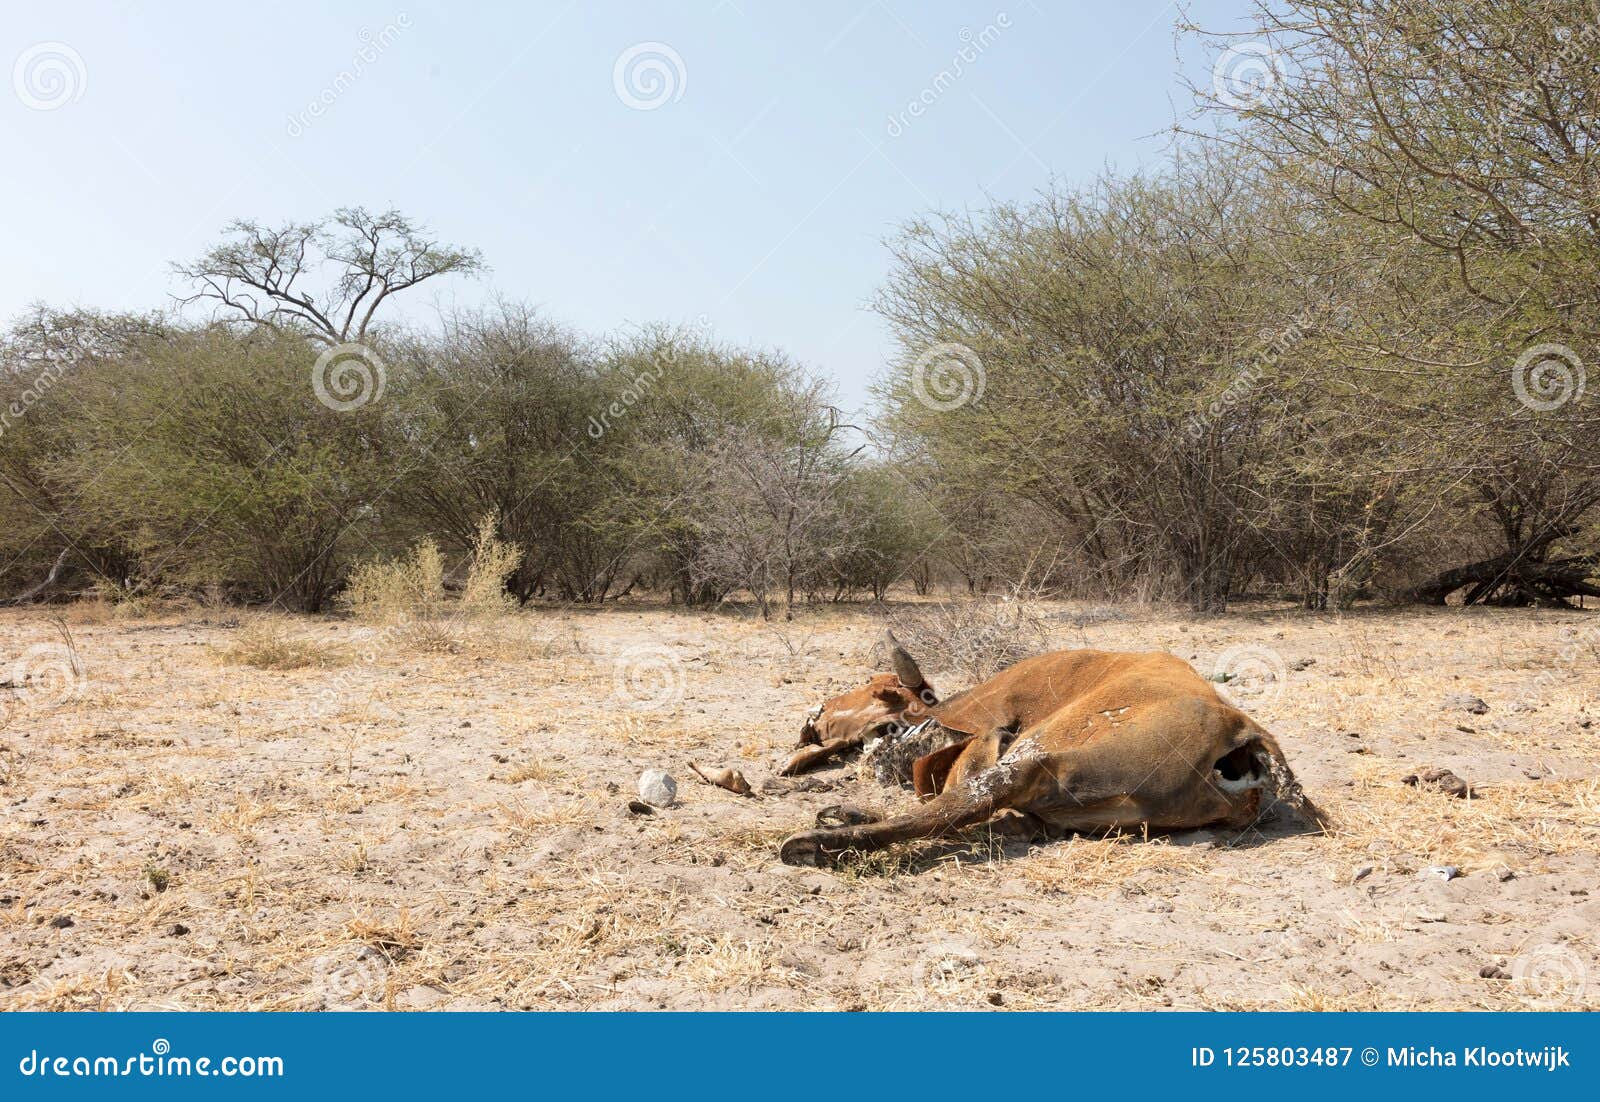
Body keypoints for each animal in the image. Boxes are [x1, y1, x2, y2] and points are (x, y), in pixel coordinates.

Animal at [778, 633, 1323, 866]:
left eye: (873, 685)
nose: (816, 714)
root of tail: (1246, 734)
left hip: (1043, 755)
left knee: (967, 801)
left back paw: (815, 843)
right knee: (1003, 816)